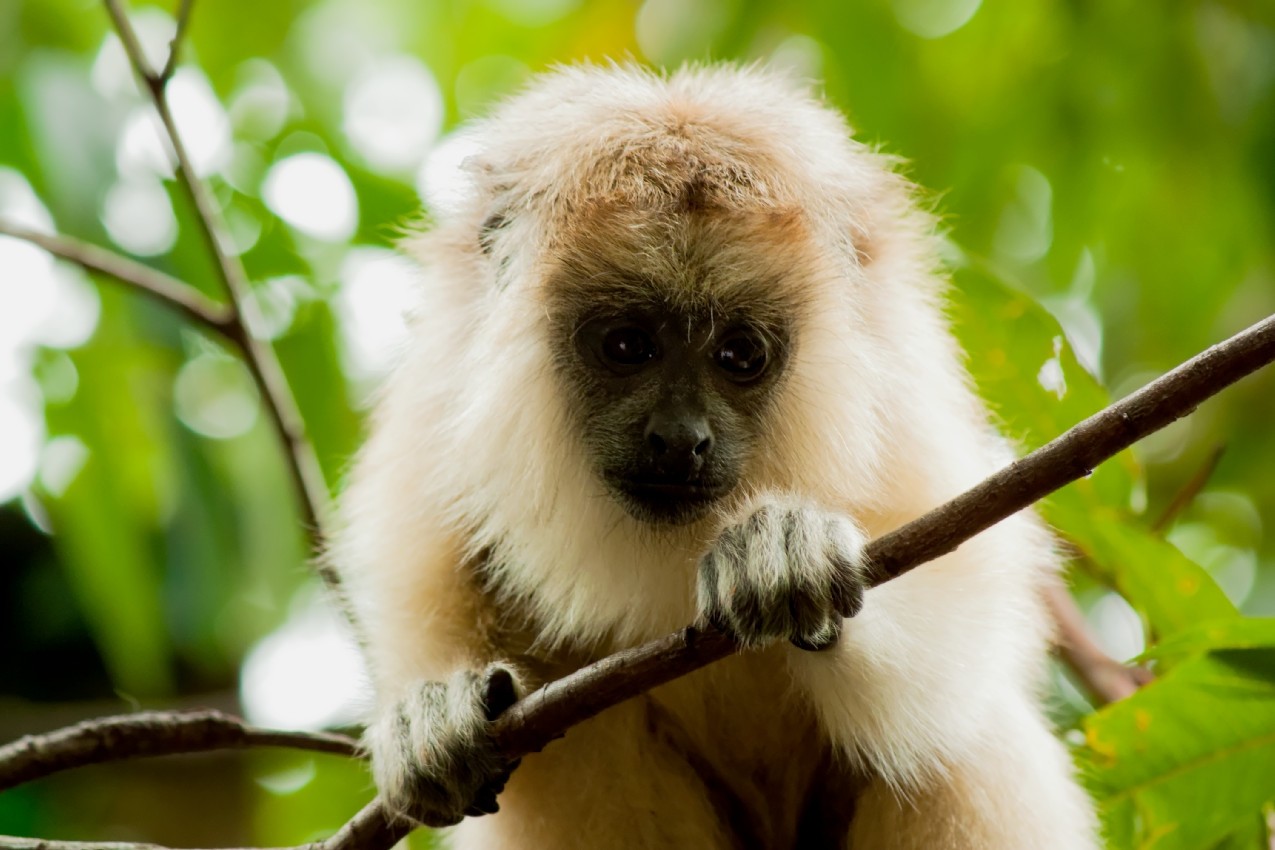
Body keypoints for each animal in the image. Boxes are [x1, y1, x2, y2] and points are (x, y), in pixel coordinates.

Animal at [329, 64, 1099, 848]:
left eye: (739, 355)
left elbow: (973, 599)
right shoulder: (441, 388)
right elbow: (421, 569)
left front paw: (782, 550)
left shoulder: (900, 387)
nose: (680, 438)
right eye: (626, 345)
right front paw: (431, 711)